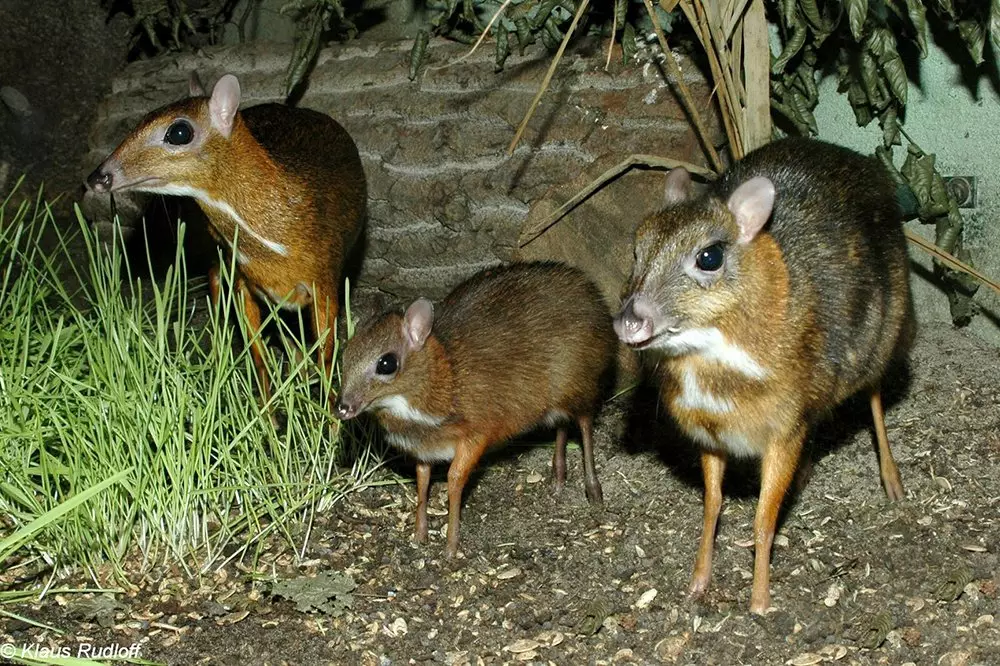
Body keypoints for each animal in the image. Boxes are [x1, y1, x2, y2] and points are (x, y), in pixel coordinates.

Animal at [86, 75, 366, 402]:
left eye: (179, 132)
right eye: (143, 119)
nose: (97, 177)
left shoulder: (325, 278)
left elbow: (326, 354)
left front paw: (327, 411)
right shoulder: (243, 279)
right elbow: (258, 357)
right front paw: (266, 412)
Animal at [336, 260, 616, 556]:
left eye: (387, 363)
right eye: (347, 352)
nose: (343, 407)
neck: (446, 377)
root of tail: (597, 300)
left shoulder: (477, 434)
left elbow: (455, 480)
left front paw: (450, 547)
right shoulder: (423, 450)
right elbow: (422, 481)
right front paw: (419, 535)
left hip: (582, 384)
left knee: (584, 425)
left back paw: (593, 490)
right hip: (556, 401)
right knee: (562, 425)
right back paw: (559, 479)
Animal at [608, 135, 916, 612]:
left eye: (709, 256)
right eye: (637, 250)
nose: (629, 321)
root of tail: (869, 166)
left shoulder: (784, 429)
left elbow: (763, 519)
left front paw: (759, 602)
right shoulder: (711, 436)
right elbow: (712, 506)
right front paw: (698, 583)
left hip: (885, 337)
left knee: (876, 396)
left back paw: (893, 481)